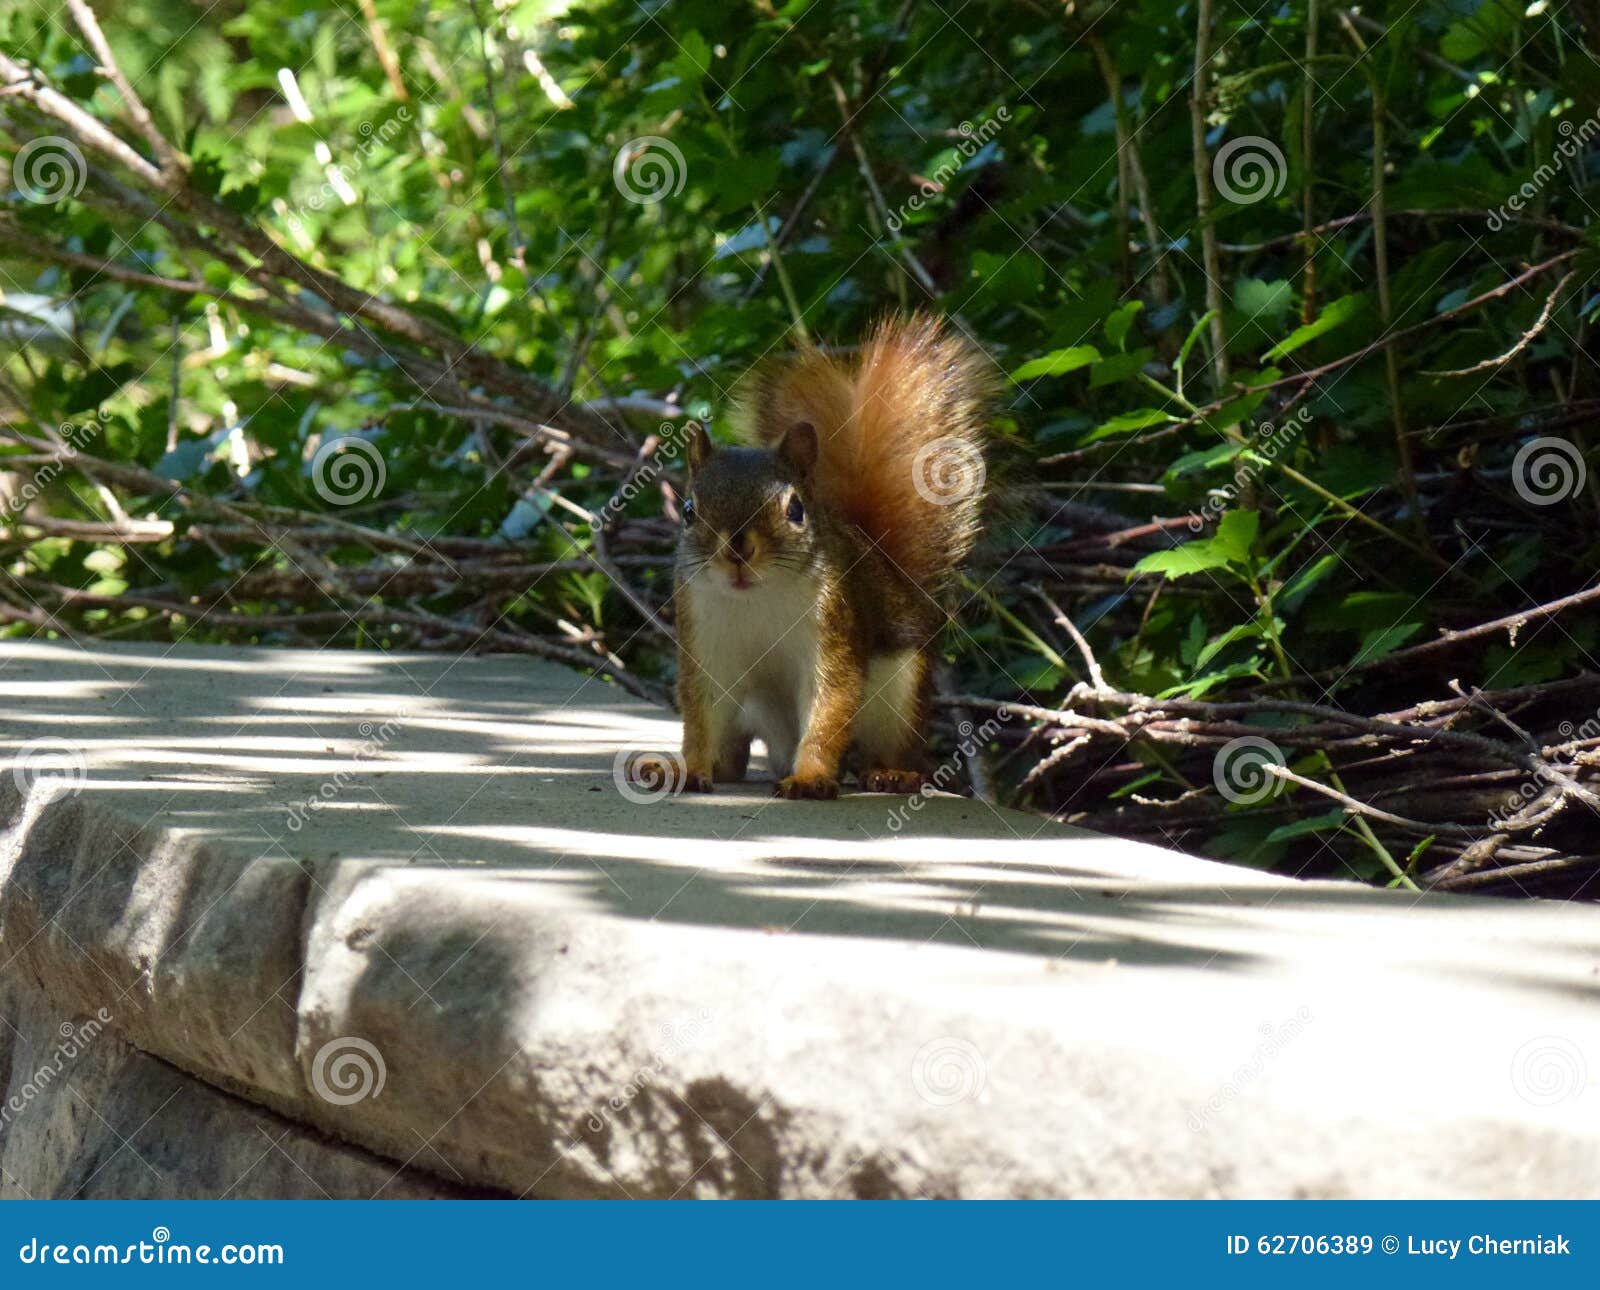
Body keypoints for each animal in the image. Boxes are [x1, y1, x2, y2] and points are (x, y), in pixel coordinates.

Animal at [647, 312, 991, 800]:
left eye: (795, 510)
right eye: (690, 511)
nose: (737, 551)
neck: (757, 597)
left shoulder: (834, 624)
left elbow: (830, 702)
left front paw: (809, 778)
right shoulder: (704, 640)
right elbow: (700, 716)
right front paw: (689, 769)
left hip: (900, 695)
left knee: (895, 750)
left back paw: (892, 773)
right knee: (733, 755)